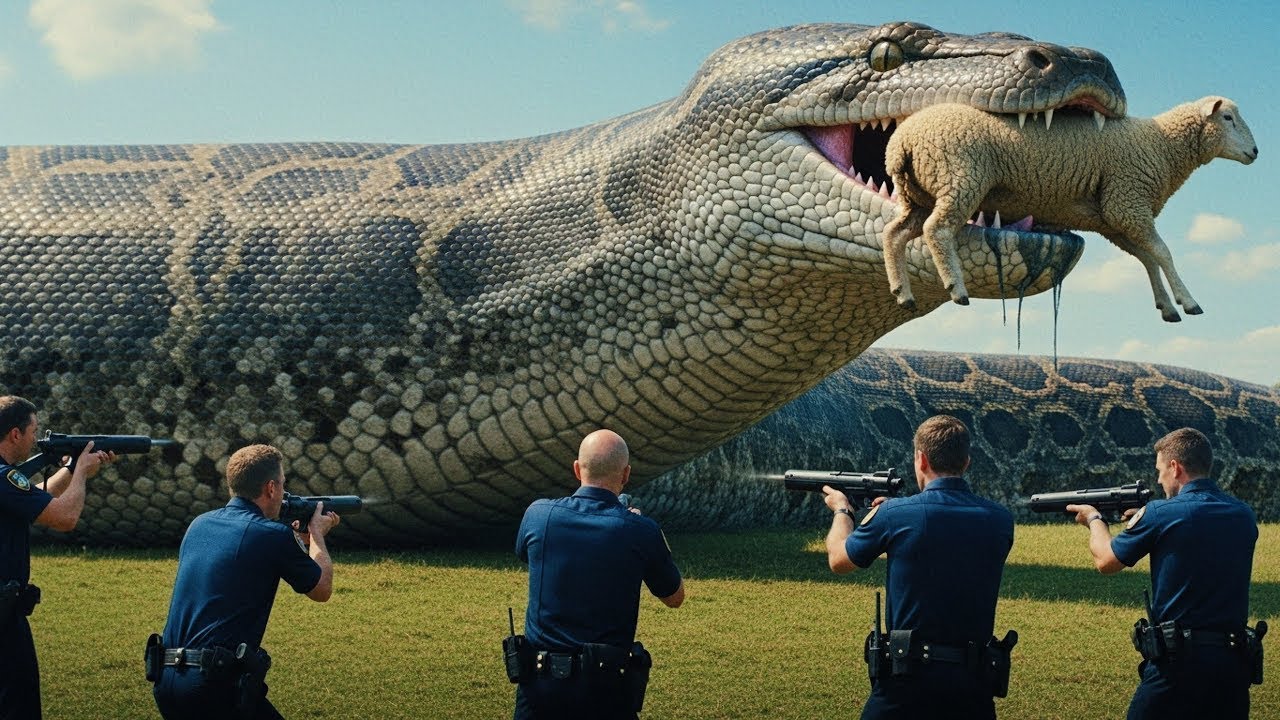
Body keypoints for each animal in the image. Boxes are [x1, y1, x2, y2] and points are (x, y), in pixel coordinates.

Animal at [882, 96, 1258, 321]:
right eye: (1228, 117)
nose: (1255, 152)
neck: (1164, 145)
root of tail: (901, 142)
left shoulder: (1114, 219)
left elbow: (1149, 258)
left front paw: (1167, 306)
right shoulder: (1128, 202)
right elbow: (1163, 254)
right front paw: (1188, 301)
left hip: (917, 195)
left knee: (893, 234)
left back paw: (903, 293)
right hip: (958, 178)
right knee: (937, 230)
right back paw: (956, 287)